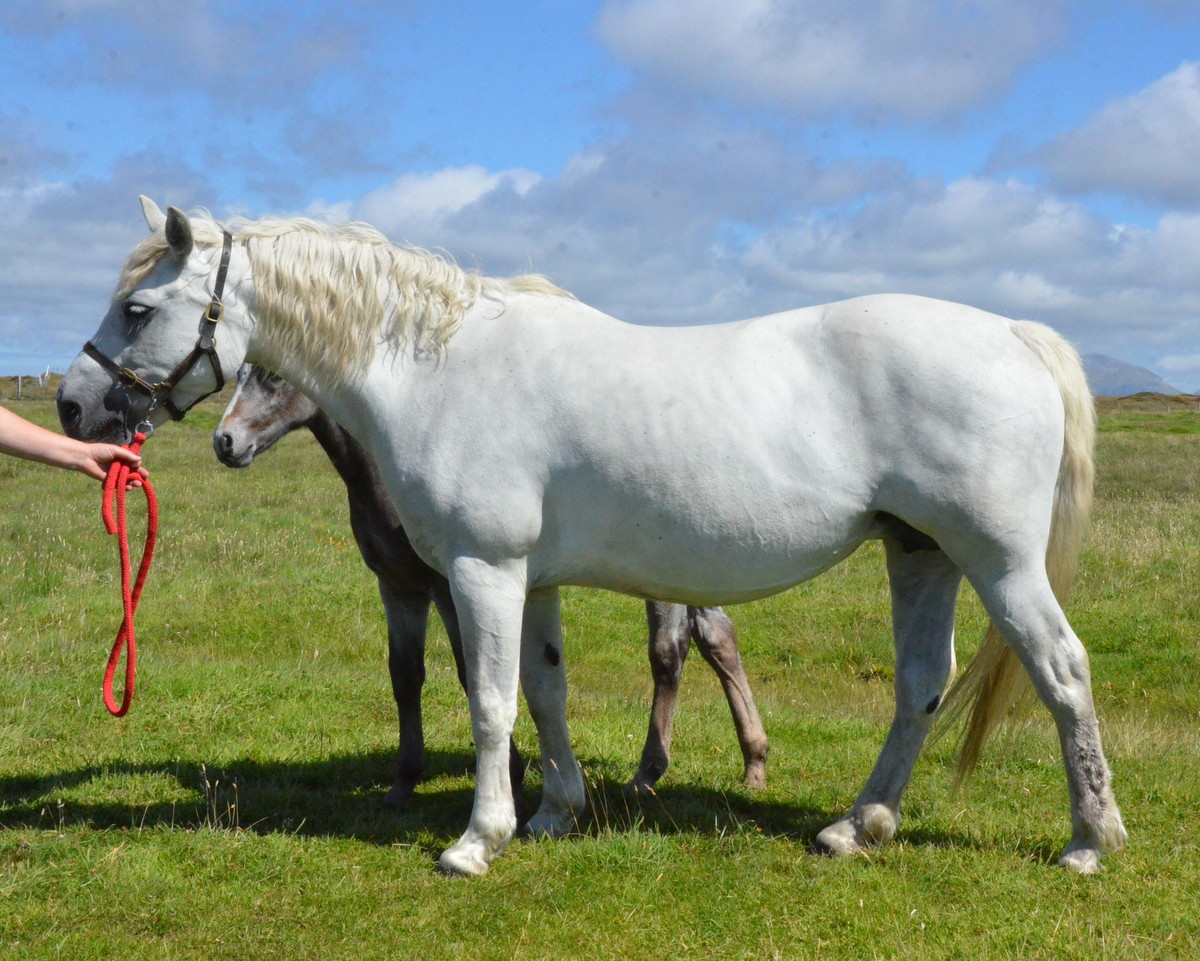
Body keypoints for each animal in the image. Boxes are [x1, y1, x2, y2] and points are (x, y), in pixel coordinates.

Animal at [212, 362, 769, 804]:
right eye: (238, 373)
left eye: (274, 375)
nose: (225, 442)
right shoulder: (397, 586)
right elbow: (405, 675)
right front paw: (402, 784)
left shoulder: (450, 585)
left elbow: (468, 670)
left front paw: (514, 771)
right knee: (717, 636)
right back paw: (754, 762)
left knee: (669, 651)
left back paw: (648, 773)